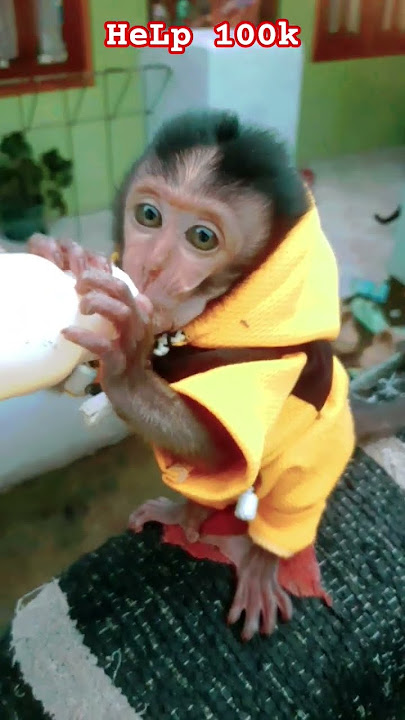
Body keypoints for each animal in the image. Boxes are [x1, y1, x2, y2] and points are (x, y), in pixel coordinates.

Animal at [25, 110, 403, 641]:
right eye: (149, 216)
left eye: (202, 238)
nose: (151, 267)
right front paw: (60, 255)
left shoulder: (269, 364)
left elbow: (223, 444)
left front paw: (126, 360)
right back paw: (189, 512)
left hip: (321, 449)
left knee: (290, 485)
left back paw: (263, 557)